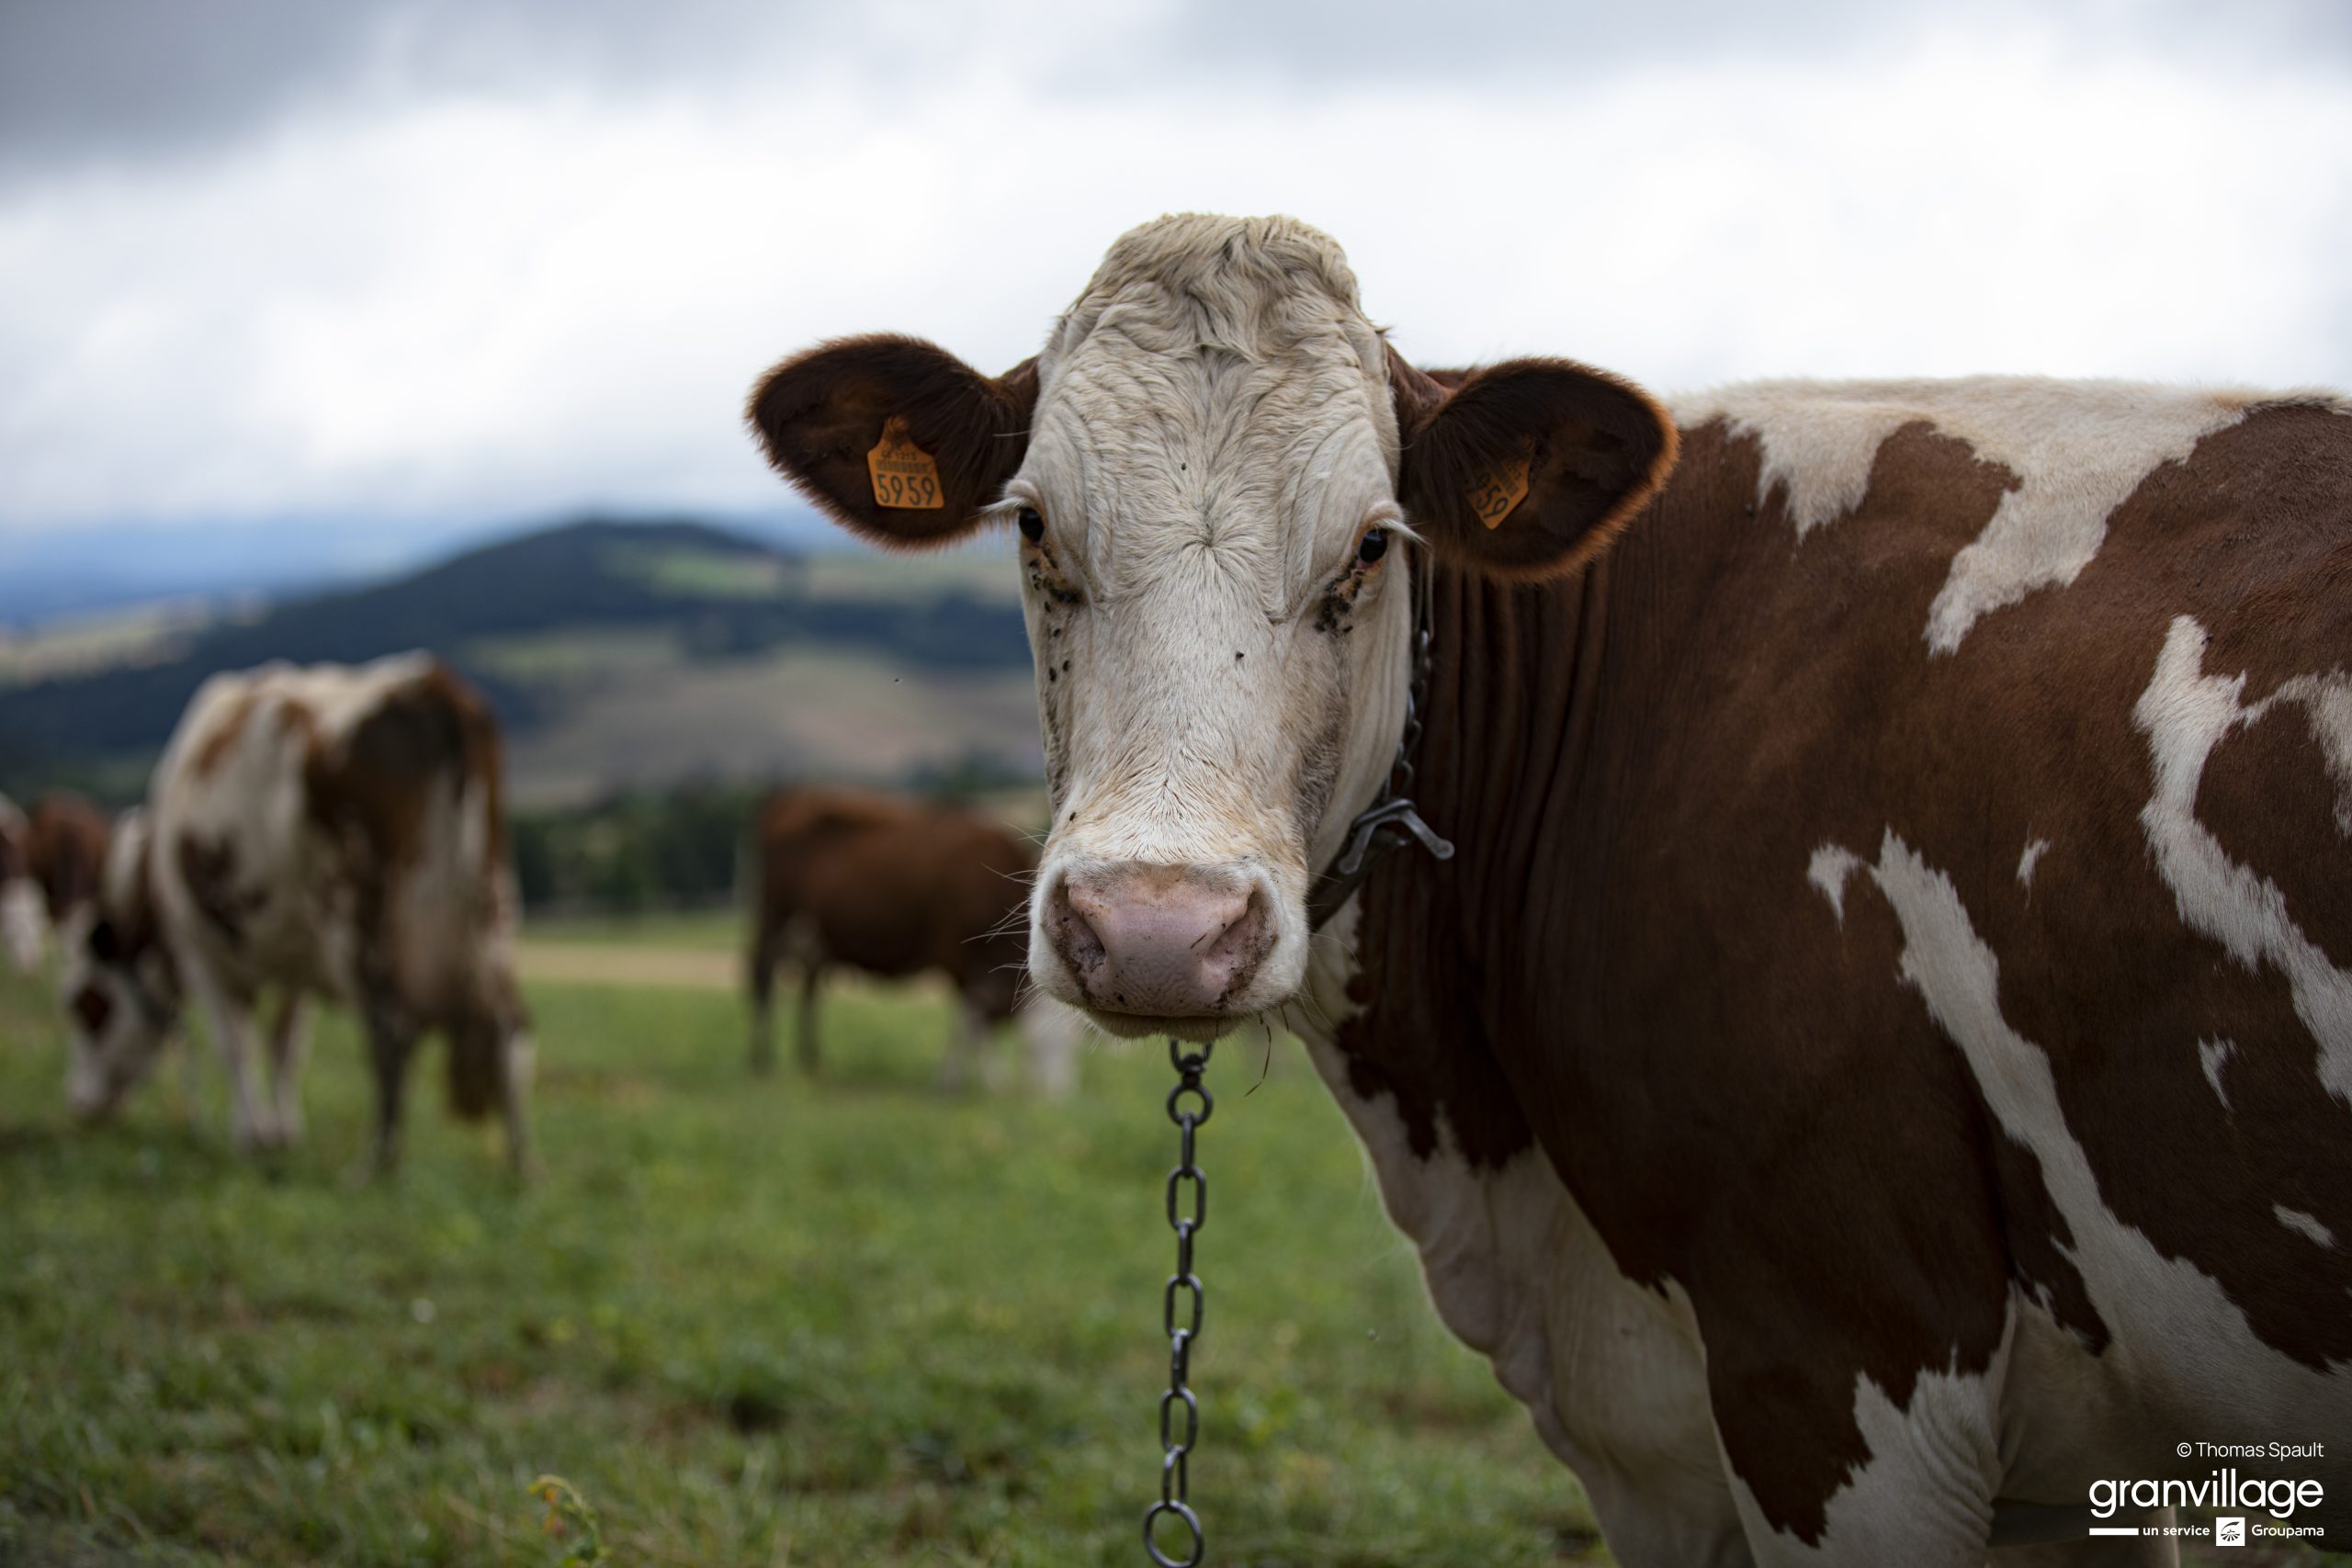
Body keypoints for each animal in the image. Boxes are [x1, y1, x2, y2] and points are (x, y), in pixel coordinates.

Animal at [62, 654, 532, 1174]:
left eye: (86, 1006)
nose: (78, 1105)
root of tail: (433, 684)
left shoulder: (199, 951)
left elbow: (236, 1045)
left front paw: (252, 1137)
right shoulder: (298, 960)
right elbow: (284, 1046)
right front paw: (285, 1133)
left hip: (360, 913)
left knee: (391, 1028)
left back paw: (376, 1164)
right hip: (490, 898)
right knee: (506, 1026)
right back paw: (521, 1166)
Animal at [746, 786, 1079, 1094]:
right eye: (1050, 1042)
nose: (1060, 1097)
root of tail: (787, 797)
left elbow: (977, 1023)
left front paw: (983, 1079)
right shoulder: (955, 956)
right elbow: (970, 1024)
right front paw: (969, 1081)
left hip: (815, 935)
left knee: (808, 988)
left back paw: (812, 1062)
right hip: (774, 917)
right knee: (763, 977)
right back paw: (762, 1062)